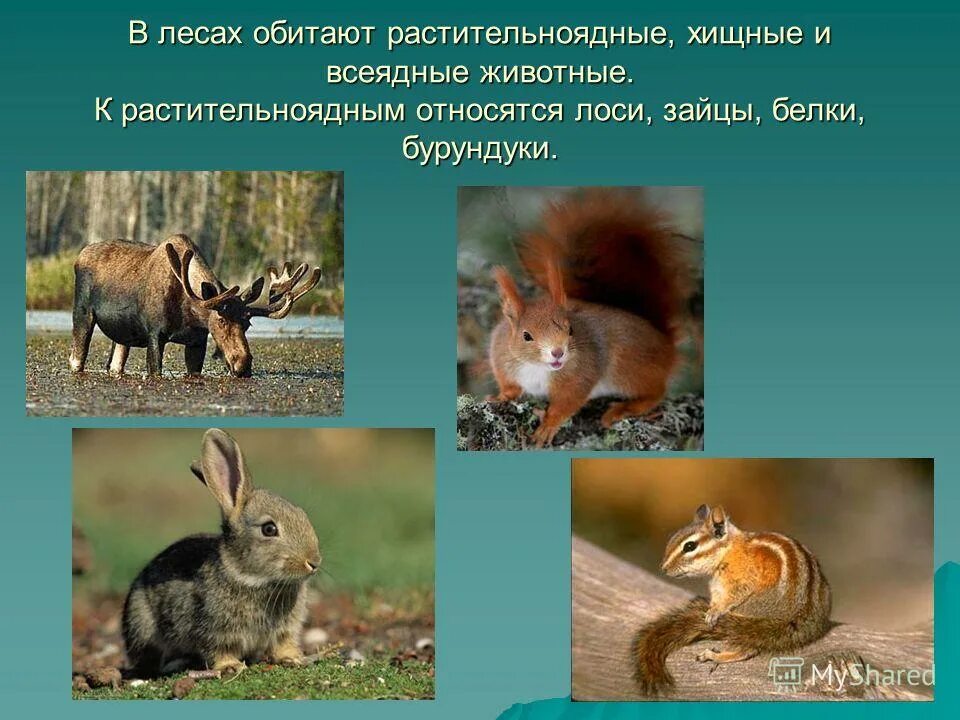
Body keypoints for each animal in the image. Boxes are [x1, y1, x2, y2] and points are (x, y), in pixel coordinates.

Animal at [70, 234, 320, 378]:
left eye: (248, 324)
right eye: (221, 320)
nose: (243, 365)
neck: (188, 312)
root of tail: (79, 255)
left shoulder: (197, 341)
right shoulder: (155, 334)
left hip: (123, 336)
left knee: (115, 364)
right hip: (82, 314)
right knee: (76, 359)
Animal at [121, 428, 322, 677]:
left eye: (302, 515)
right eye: (269, 529)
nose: (313, 562)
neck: (252, 579)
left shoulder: (284, 630)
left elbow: (282, 644)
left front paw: (293, 658)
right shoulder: (211, 629)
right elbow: (218, 650)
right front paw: (230, 666)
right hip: (143, 624)